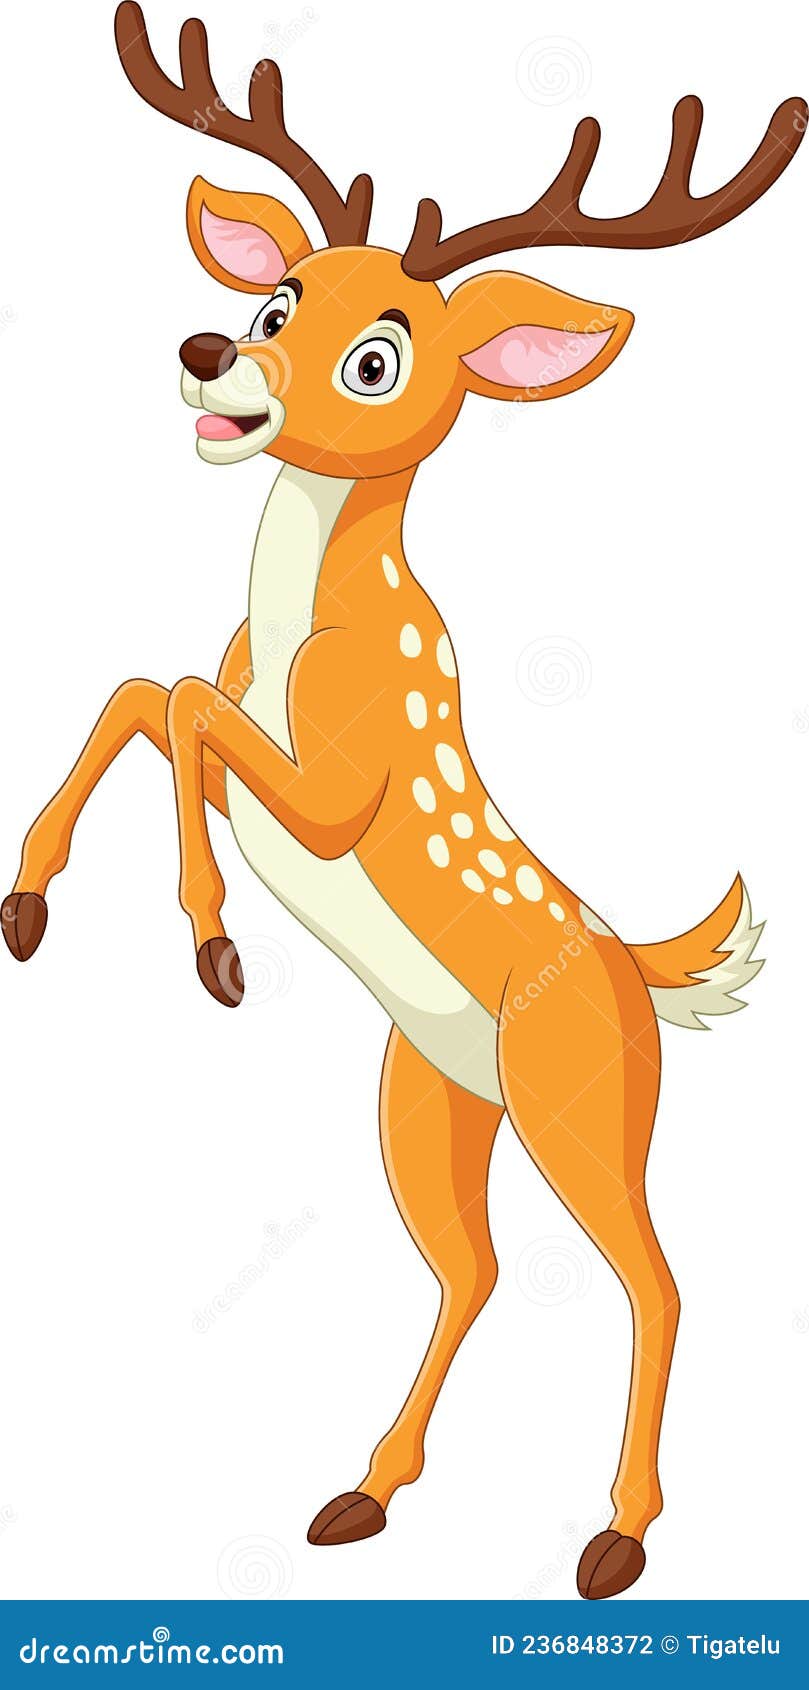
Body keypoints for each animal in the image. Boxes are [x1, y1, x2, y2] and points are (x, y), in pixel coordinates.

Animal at [3, 4, 804, 1600]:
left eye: (378, 358)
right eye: (276, 302)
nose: (205, 351)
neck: (307, 632)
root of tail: (636, 976)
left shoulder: (347, 786)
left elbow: (176, 702)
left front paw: (212, 946)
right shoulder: (241, 732)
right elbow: (147, 689)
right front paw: (29, 902)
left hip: (583, 1095)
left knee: (656, 1274)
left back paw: (614, 1538)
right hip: (427, 1091)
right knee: (473, 1264)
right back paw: (358, 1495)